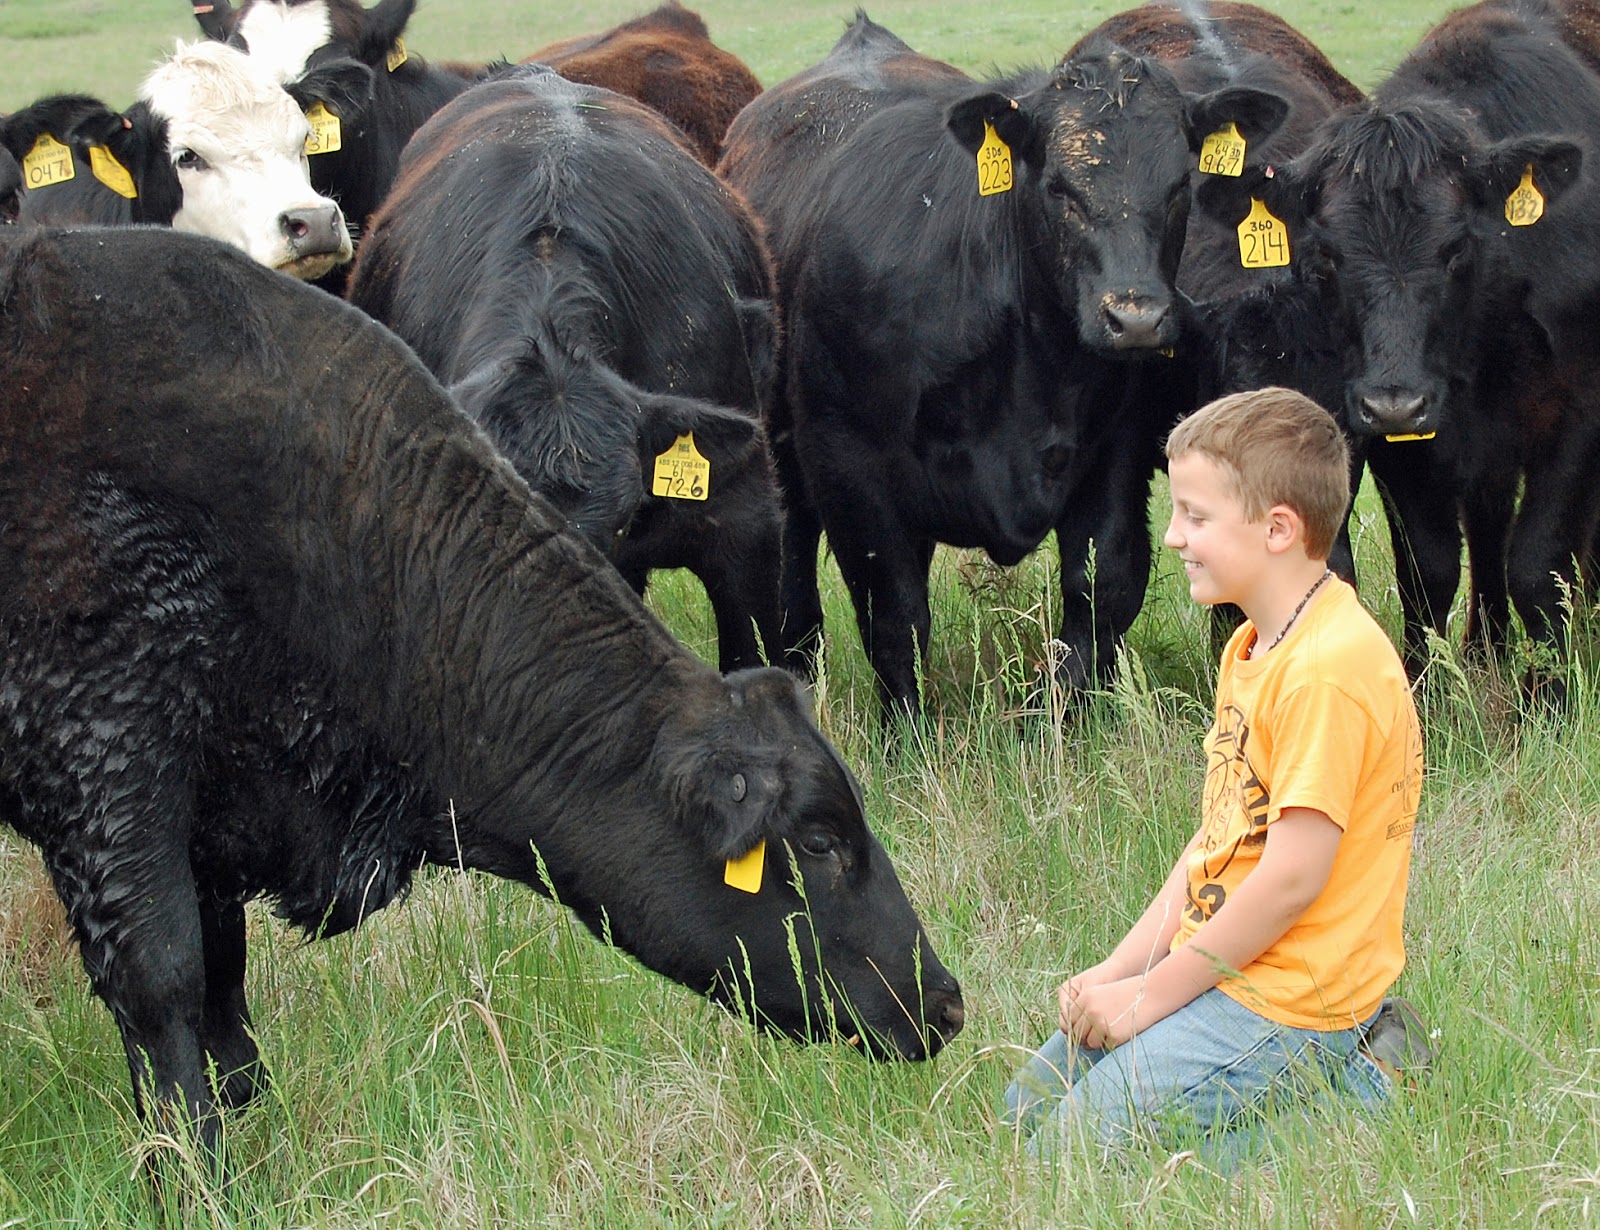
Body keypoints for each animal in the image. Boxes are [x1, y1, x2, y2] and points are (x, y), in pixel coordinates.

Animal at [0, 224, 964, 1164]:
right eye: (821, 840)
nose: (946, 1001)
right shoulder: (109, 772)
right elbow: (167, 983)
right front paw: (194, 1172)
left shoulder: (213, 814)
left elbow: (224, 991)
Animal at [718, 11, 1291, 723]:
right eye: (1058, 189)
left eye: (1179, 186)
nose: (1135, 318)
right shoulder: (849, 458)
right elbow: (894, 613)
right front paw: (906, 737)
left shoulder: (1117, 451)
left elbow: (1102, 587)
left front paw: (1072, 720)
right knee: (794, 585)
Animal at [1195, 0, 1600, 699]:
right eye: (1327, 254)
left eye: (1456, 247)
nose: (1396, 402)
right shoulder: (1400, 441)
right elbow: (1430, 567)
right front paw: (1419, 685)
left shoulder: (1576, 413)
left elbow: (1539, 564)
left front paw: (1549, 695)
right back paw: (1486, 647)